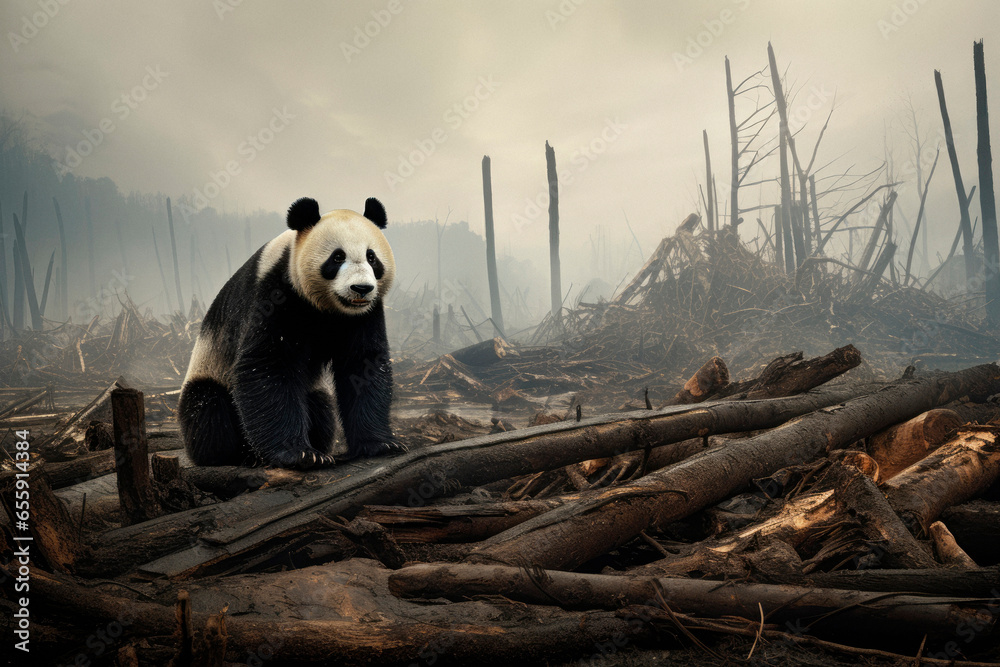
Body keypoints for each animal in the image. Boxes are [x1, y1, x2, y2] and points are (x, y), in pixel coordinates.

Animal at [178, 196, 405, 470]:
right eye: (337, 257)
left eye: (372, 257)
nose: (361, 288)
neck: (327, 308)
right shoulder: (276, 293)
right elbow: (269, 364)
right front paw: (301, 454)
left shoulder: (365, 315)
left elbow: (363, 364)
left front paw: (381, 444)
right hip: (209, 367)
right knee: (209, 409)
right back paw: (234, 455)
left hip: (314, 390)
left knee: (321, 409)